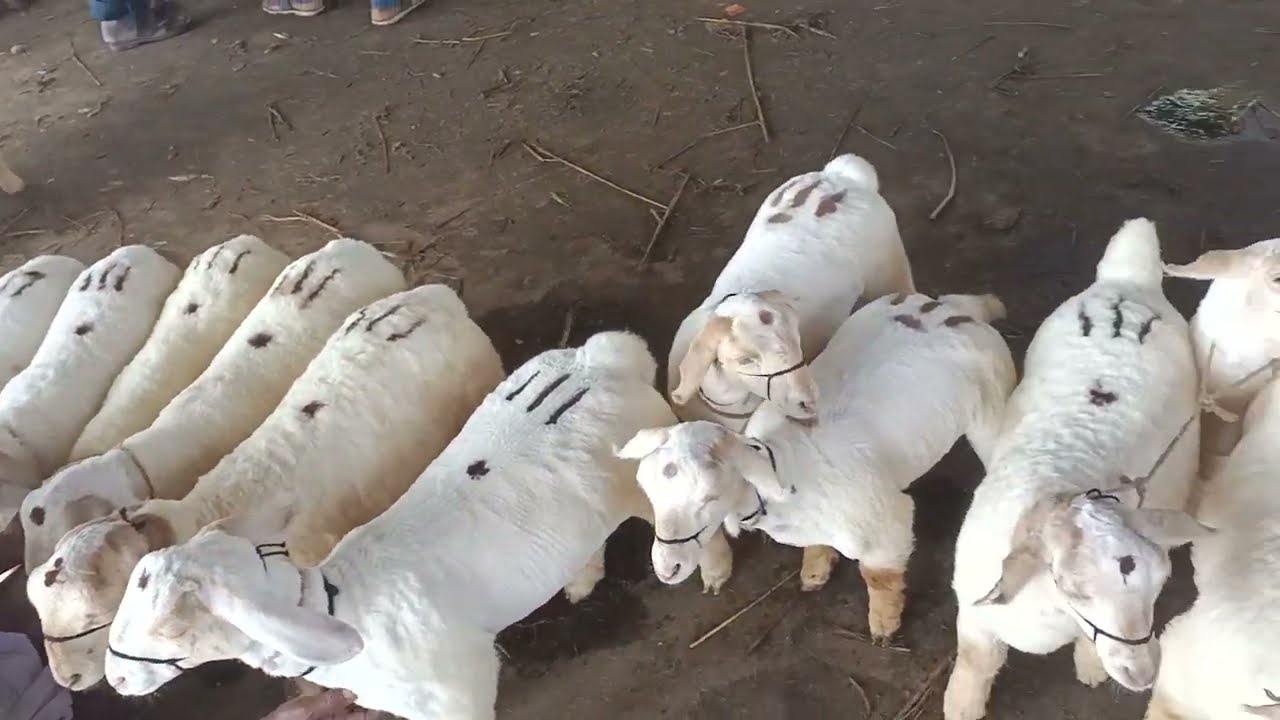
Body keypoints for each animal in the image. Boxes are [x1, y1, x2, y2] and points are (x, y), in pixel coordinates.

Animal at [99, 332, 727, 720]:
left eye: (173, 628)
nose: (117, 681)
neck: (341, 608)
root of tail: (600, 361)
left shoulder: (460, 695)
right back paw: (580, 579)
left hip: (646, 479)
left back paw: (713, 571)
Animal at [619, 291, 1014, 641]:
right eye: (648, 491)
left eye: (710, 496)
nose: (667, 567)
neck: (784, 467)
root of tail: (950, 309)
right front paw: (815, 570)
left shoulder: (885, 526)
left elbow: (879, 577)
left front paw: (883, 627)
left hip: (992, 407)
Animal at [665, 152, 915, 591]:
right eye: (745, 359)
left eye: (797, 341)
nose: (806, 401)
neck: (733, 409)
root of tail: (839, 177)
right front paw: (715, 571)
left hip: (890, 264)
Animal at [942, 219, 1214, 720]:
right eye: (1074, 589)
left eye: (1161, 582)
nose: (1142, 674)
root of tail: (1127, 283)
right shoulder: (974, 616)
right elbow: (976, 661)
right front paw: (961, 706)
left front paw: (1089, 665)